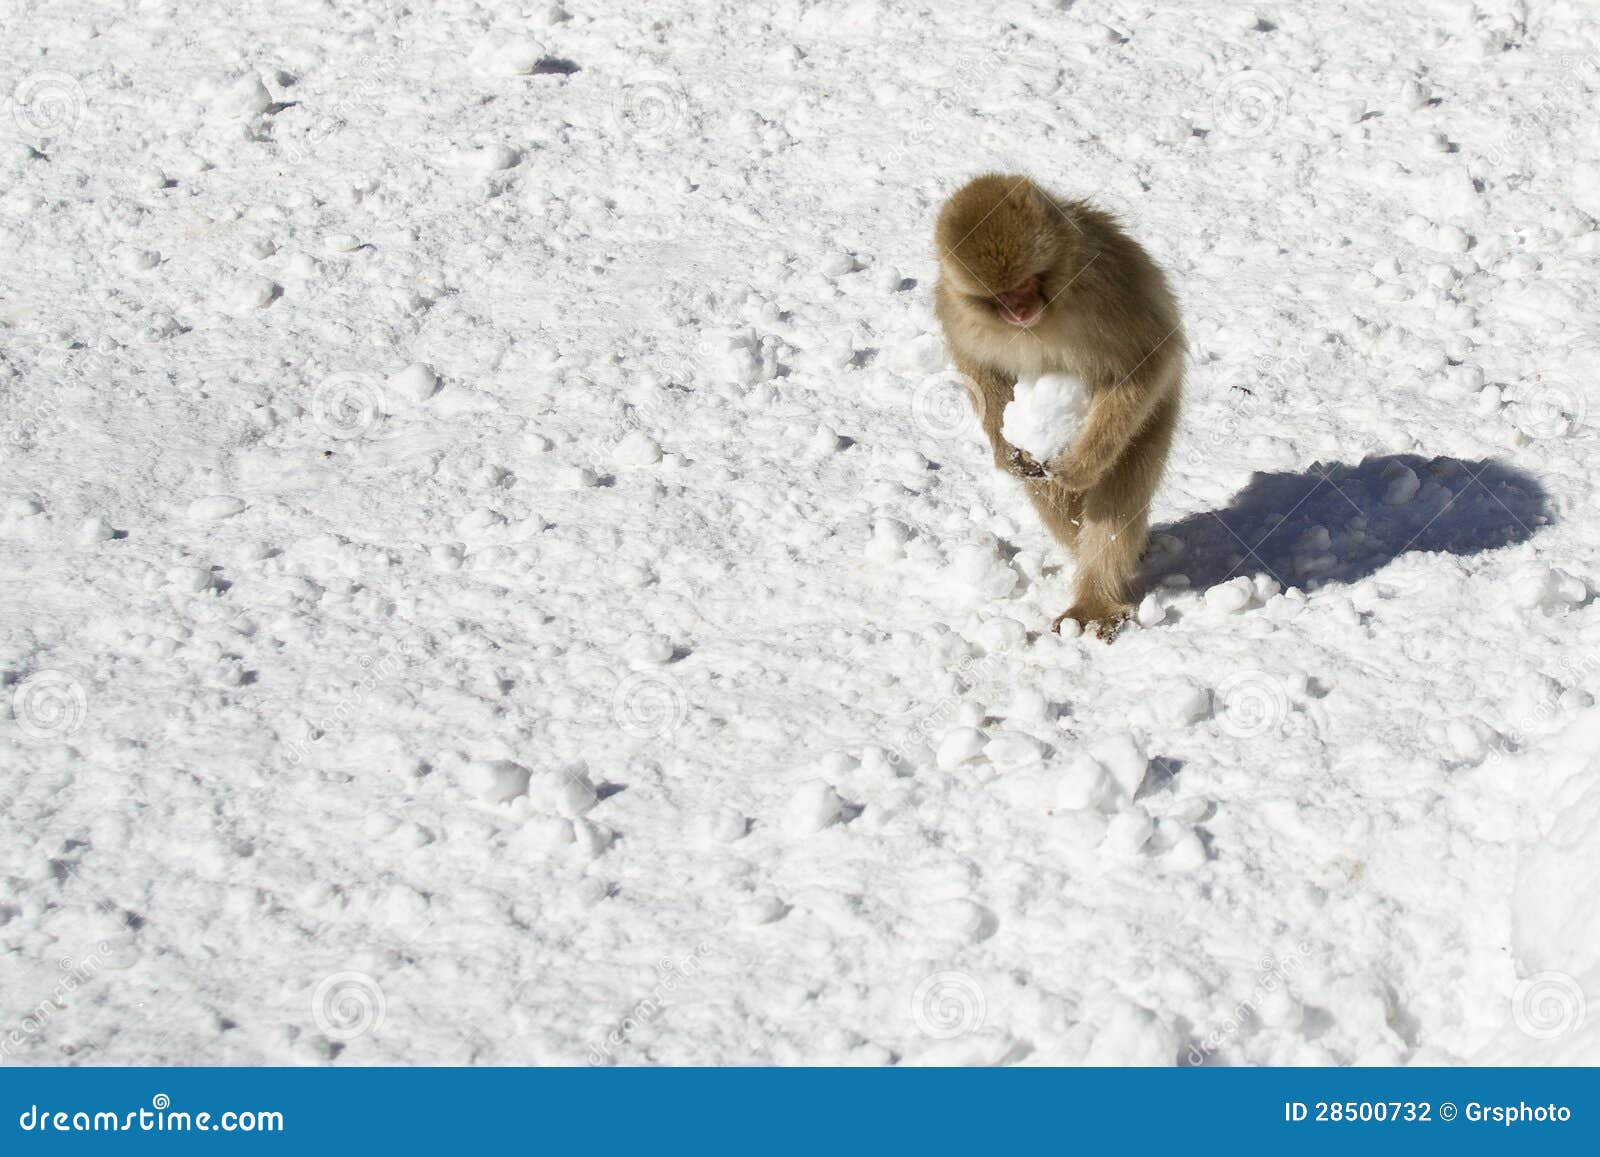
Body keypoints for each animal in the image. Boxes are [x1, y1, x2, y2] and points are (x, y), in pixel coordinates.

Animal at [933, 173, 1183, 640]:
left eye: (1026, 284)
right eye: (1001, 297)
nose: (1019, 310)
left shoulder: (1106, 285)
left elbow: (1145, 359)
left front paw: (1079, 467)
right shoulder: (957, 309)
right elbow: (978, 368)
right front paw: (1006, 452)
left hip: (1158, 414)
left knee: (1120, 490)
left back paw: (1096, 600)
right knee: (1048, 494)